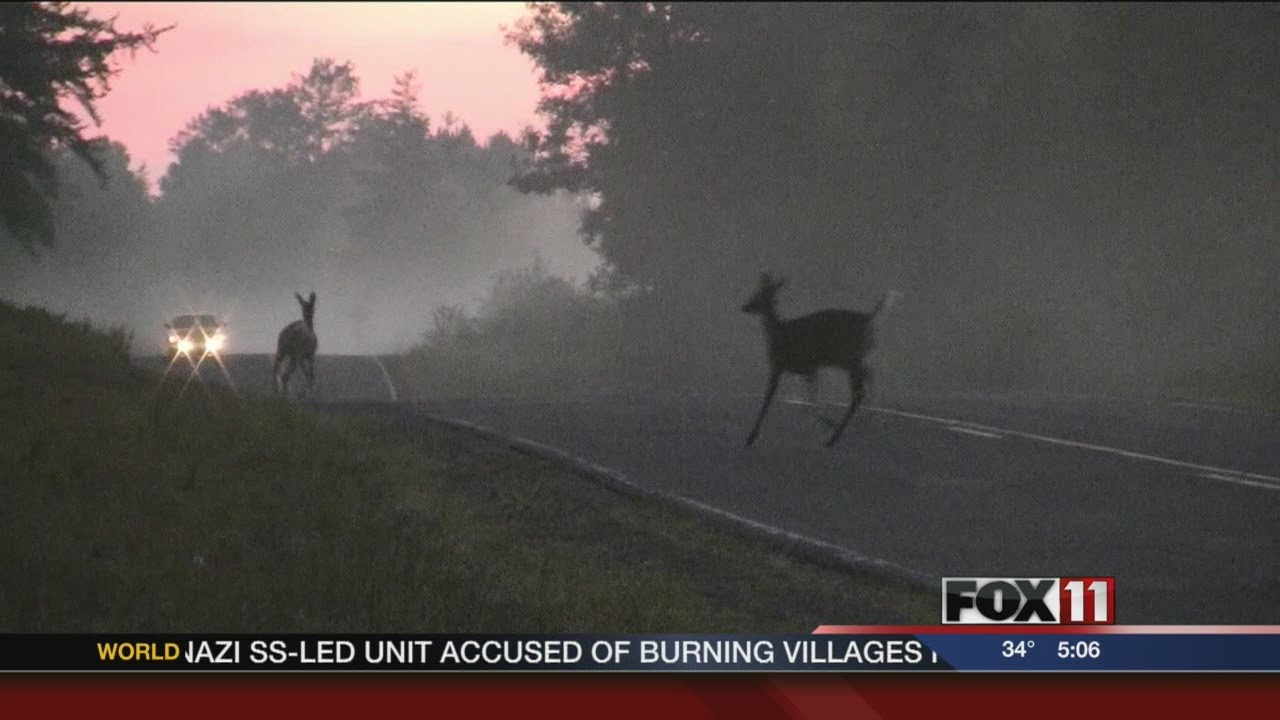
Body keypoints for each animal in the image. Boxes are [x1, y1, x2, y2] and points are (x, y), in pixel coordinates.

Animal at [741, 273, 897, 448]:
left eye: (759, 295)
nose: (745, 306)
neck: (778, 332)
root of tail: (869, 317)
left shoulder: (789, 367)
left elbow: (783, 401)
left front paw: (751, 437)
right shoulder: (808, 369)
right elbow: (809, 401)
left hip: (850, 359)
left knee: (858, 394)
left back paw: (834, 437)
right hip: (859, 358)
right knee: (869, 378)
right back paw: (868, 420)